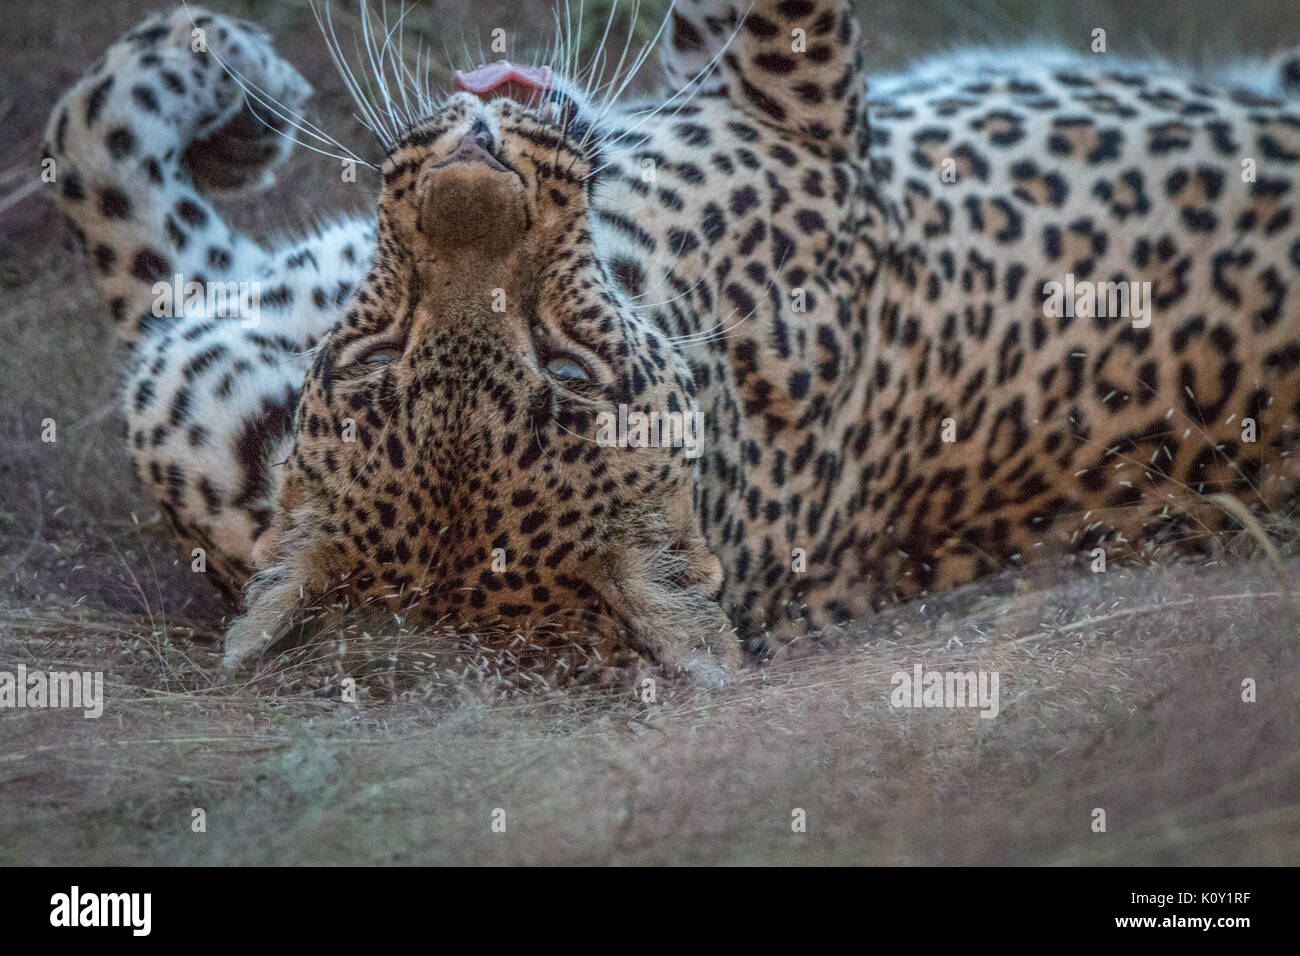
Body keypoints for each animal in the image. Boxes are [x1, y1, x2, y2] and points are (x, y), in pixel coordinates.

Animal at [40, 1, 1300, 679]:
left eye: (568, 364)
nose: (474, 164)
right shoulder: (797, 100)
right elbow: (91, 139)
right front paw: (229, 84)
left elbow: (89, 140)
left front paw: (224, 79)